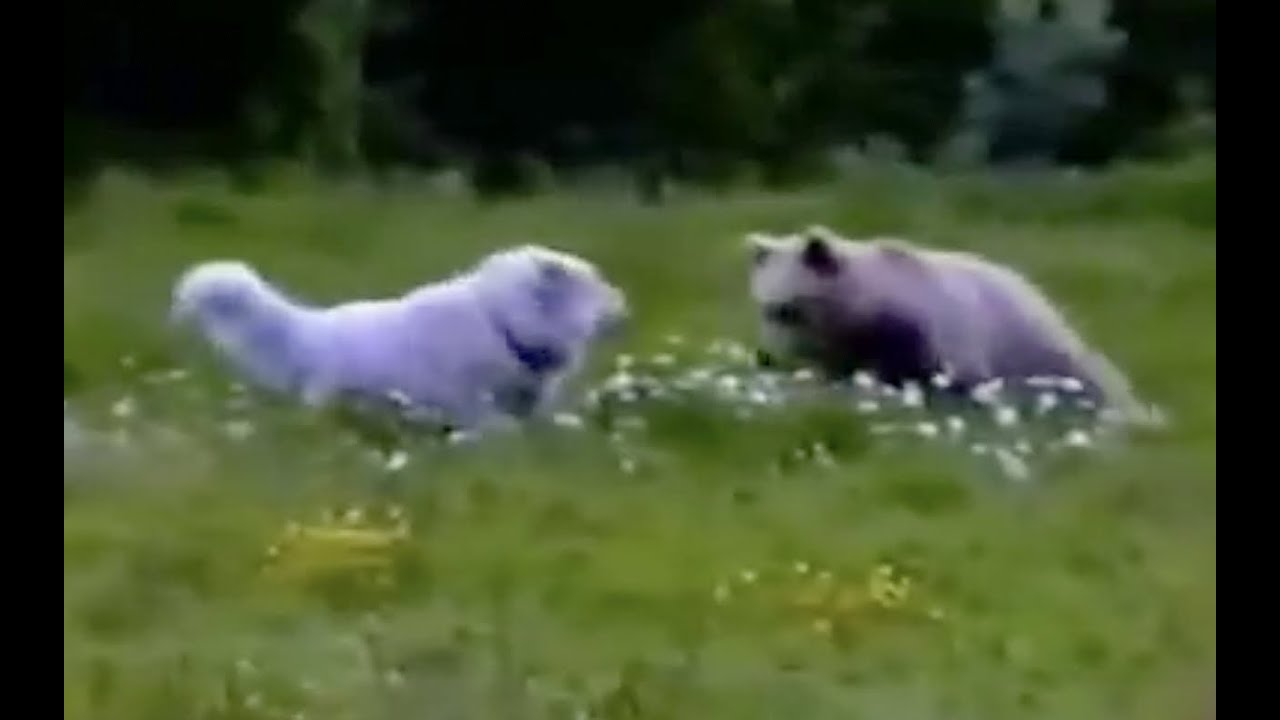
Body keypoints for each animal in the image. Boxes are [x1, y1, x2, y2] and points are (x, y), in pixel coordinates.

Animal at [170, 244, 629, 432]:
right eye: (598, 283)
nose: (627, 306)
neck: (503, 323)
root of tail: (314, 329)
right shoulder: (470, 406)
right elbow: (496, 428)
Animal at [746, 224, 1164, 426]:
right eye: (764, 307)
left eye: (788, 310)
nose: (765, 357)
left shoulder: (943, 339)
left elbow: (954, 384)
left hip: (1057, 363)